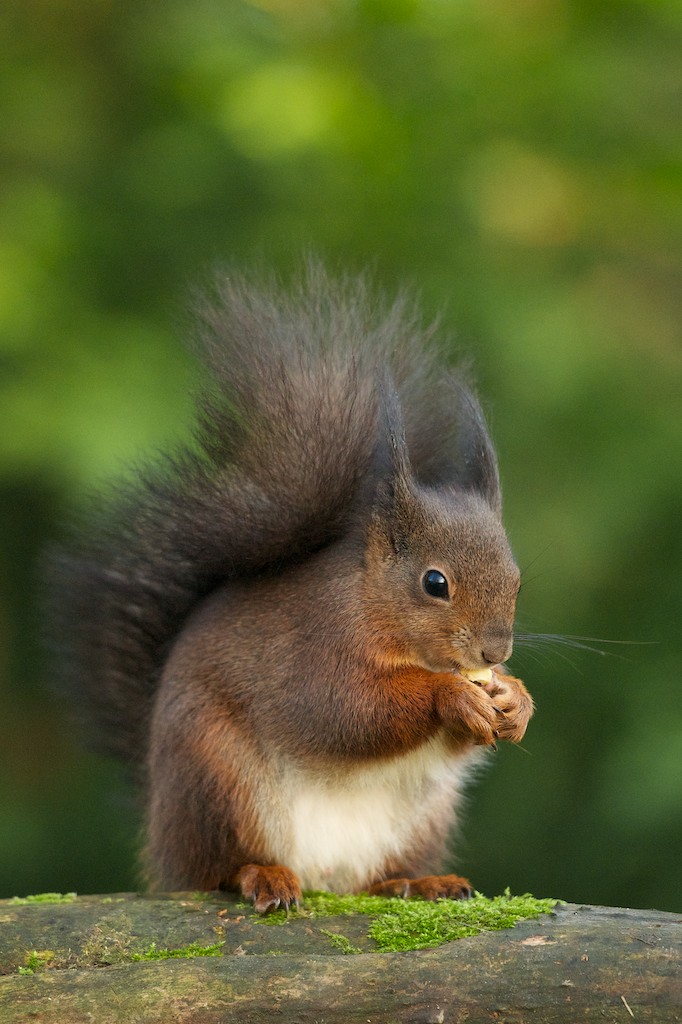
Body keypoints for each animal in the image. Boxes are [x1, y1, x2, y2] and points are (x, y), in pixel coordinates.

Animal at [51, 263, 533, 913]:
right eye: (435, 583)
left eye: (517, 580)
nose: (493, 651)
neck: (371, 604)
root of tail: (161, 835)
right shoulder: (315, 652)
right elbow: (348, 711)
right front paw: (452, 695)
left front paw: (514, 700)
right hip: (217, 777)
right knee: (218, 869)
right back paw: (263, 876)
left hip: (422, 817)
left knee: (372, 879)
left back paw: (416, 882)